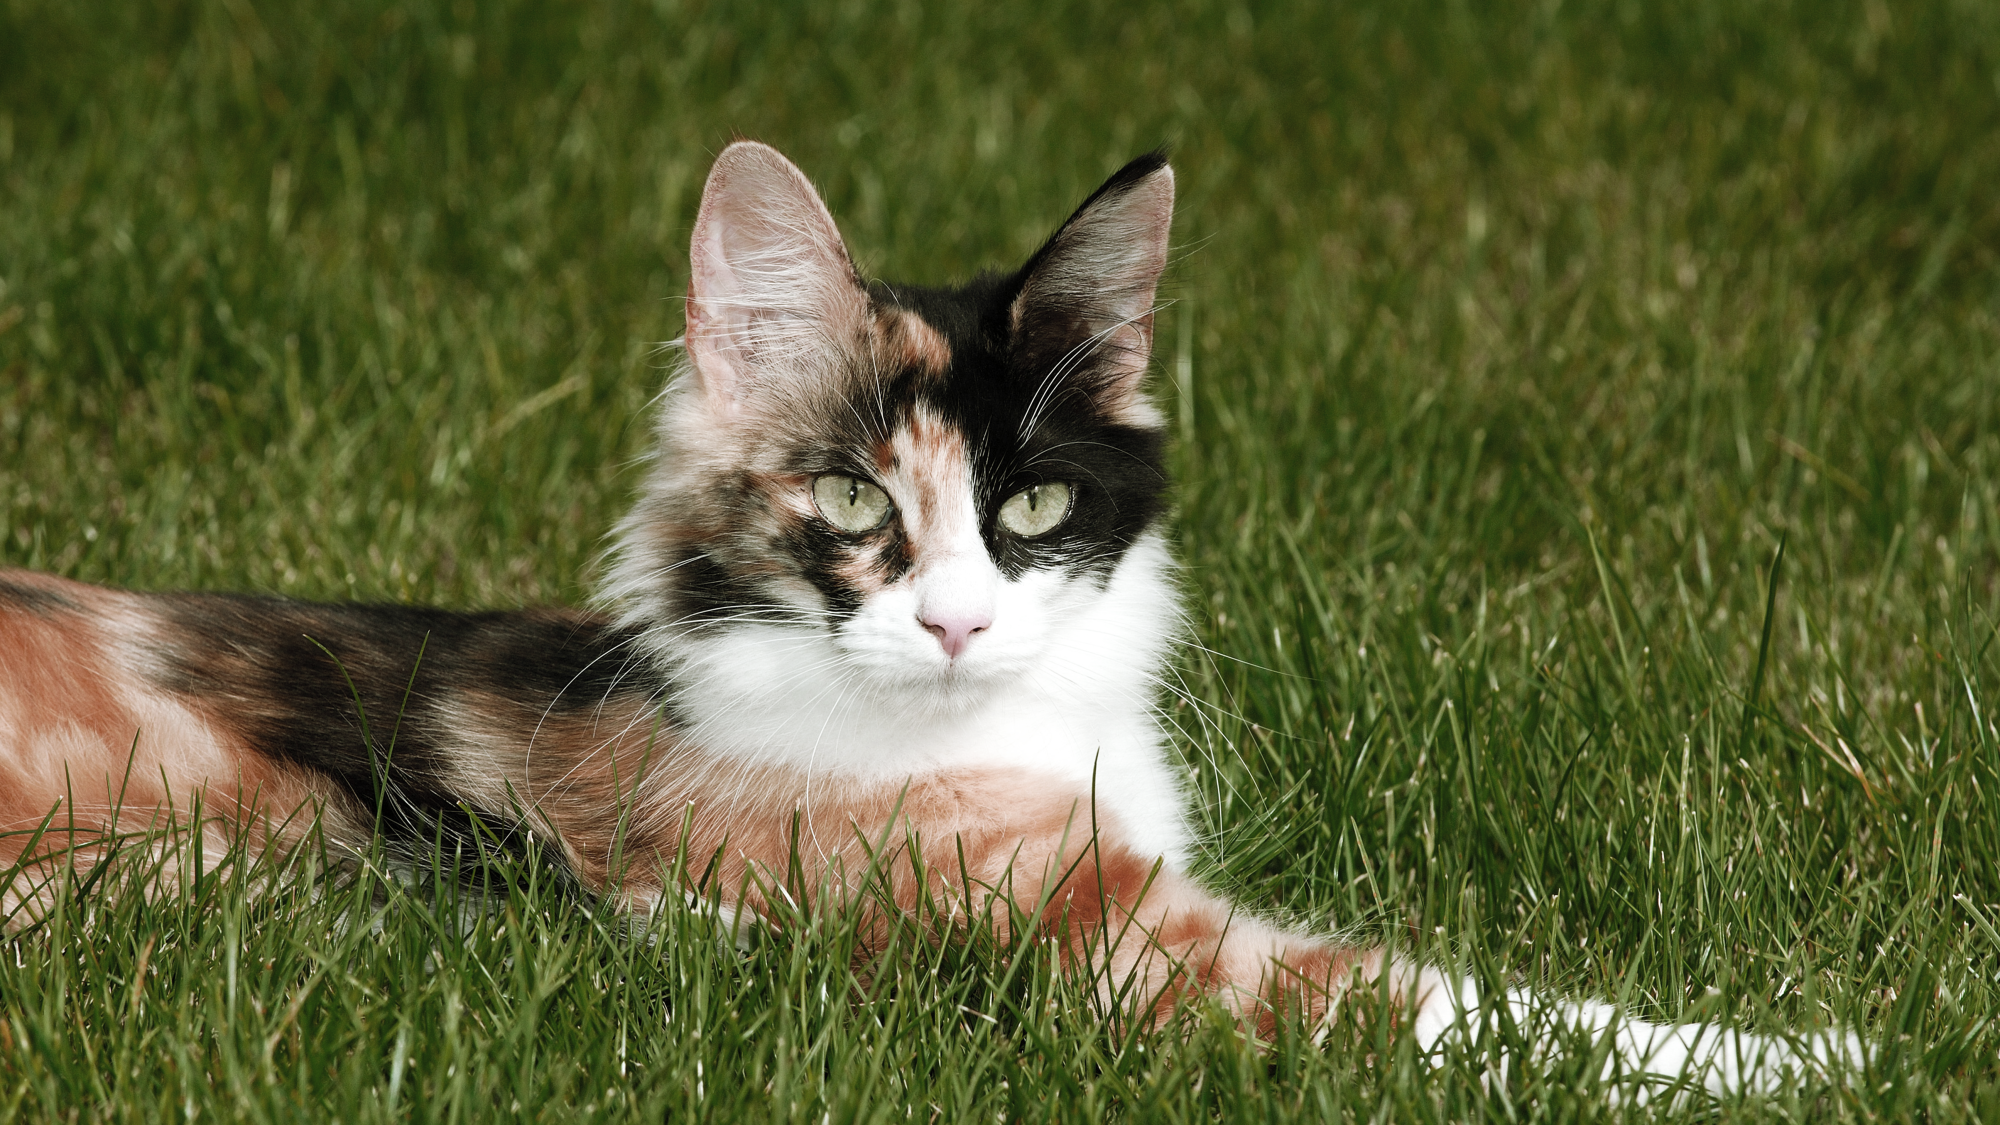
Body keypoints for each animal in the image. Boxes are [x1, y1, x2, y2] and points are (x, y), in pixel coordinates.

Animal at [0, 138, 1856, 1088]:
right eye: (849, 503)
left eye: (1030, 507)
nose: (959, 626)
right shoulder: (1111, 945)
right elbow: (1474, 1011)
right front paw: (1816, 1057)